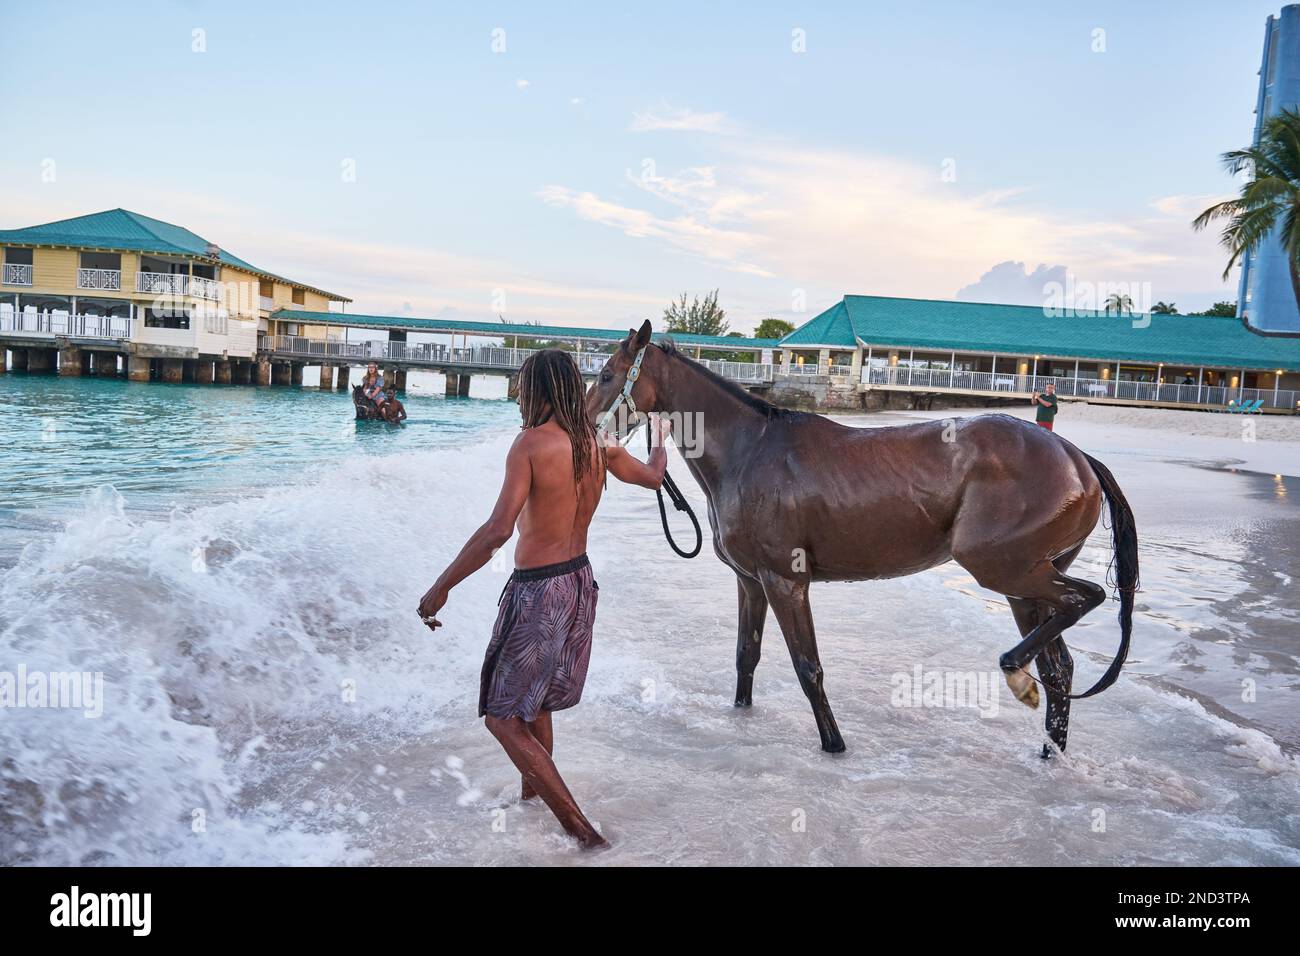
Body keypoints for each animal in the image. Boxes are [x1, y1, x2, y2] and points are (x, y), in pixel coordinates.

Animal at [585, 320, 1138, 756]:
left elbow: (808, 667)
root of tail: (1077, 457)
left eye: (607, 374)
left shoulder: (786, 581)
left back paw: (1018, 677)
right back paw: (1048, 750)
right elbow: (746, 656)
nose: (585, 426)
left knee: (1086, 601)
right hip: (1025, 584)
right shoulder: (750, 581)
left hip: (1006, 568)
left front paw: (834, 744)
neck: (749, 451)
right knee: (1060, 666)